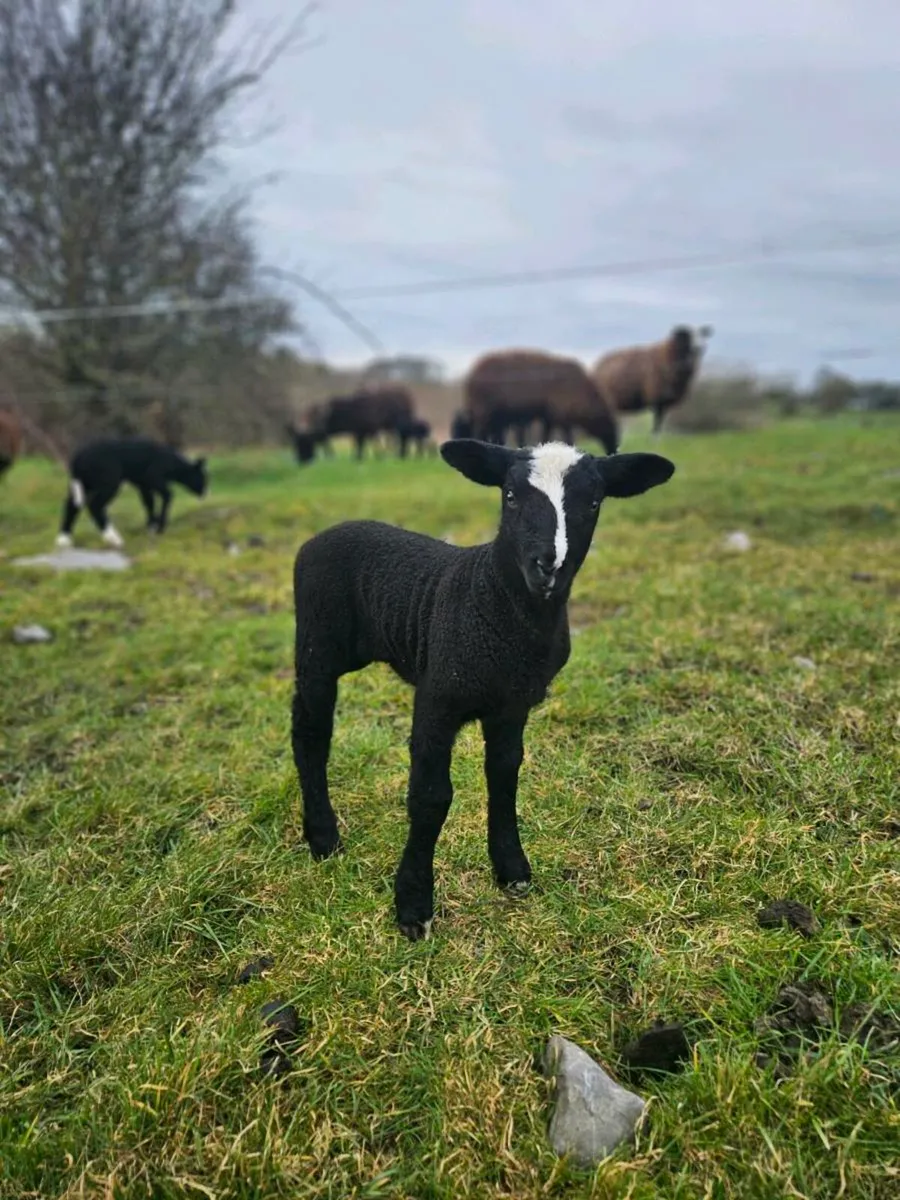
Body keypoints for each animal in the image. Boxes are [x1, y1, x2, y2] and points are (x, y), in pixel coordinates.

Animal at [56, 437, 208, 548]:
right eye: (202, 477)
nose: (205, 493)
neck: (174, 465)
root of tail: (77, 461)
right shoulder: (154, 477)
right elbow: (168, 495)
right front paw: (160, 526)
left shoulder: (144, 485)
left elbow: (149, 502)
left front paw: (152, 527)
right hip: (109, 481)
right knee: (95, 505)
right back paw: (114, 539)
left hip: (84, 484)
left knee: (72, 506)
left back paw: (64, 539)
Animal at [291, 437, 675, 940]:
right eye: (509, 496)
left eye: (593, 502)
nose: (548, 565)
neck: (496, 600)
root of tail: (323, 534)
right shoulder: (437, 698)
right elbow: (431, 796)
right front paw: (413, 906)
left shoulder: (513, 705)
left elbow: (505, 776)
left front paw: (512, 869)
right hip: (317, 647)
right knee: (310, 735)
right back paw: (323, 837)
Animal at [463, 350, 620, 454]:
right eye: (610, 426)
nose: (614, 451)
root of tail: (470, 377)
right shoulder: (561, 415)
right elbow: (567, 436)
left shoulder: (550, 416)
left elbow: (547, 435)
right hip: (483, 411)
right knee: (479, 432)